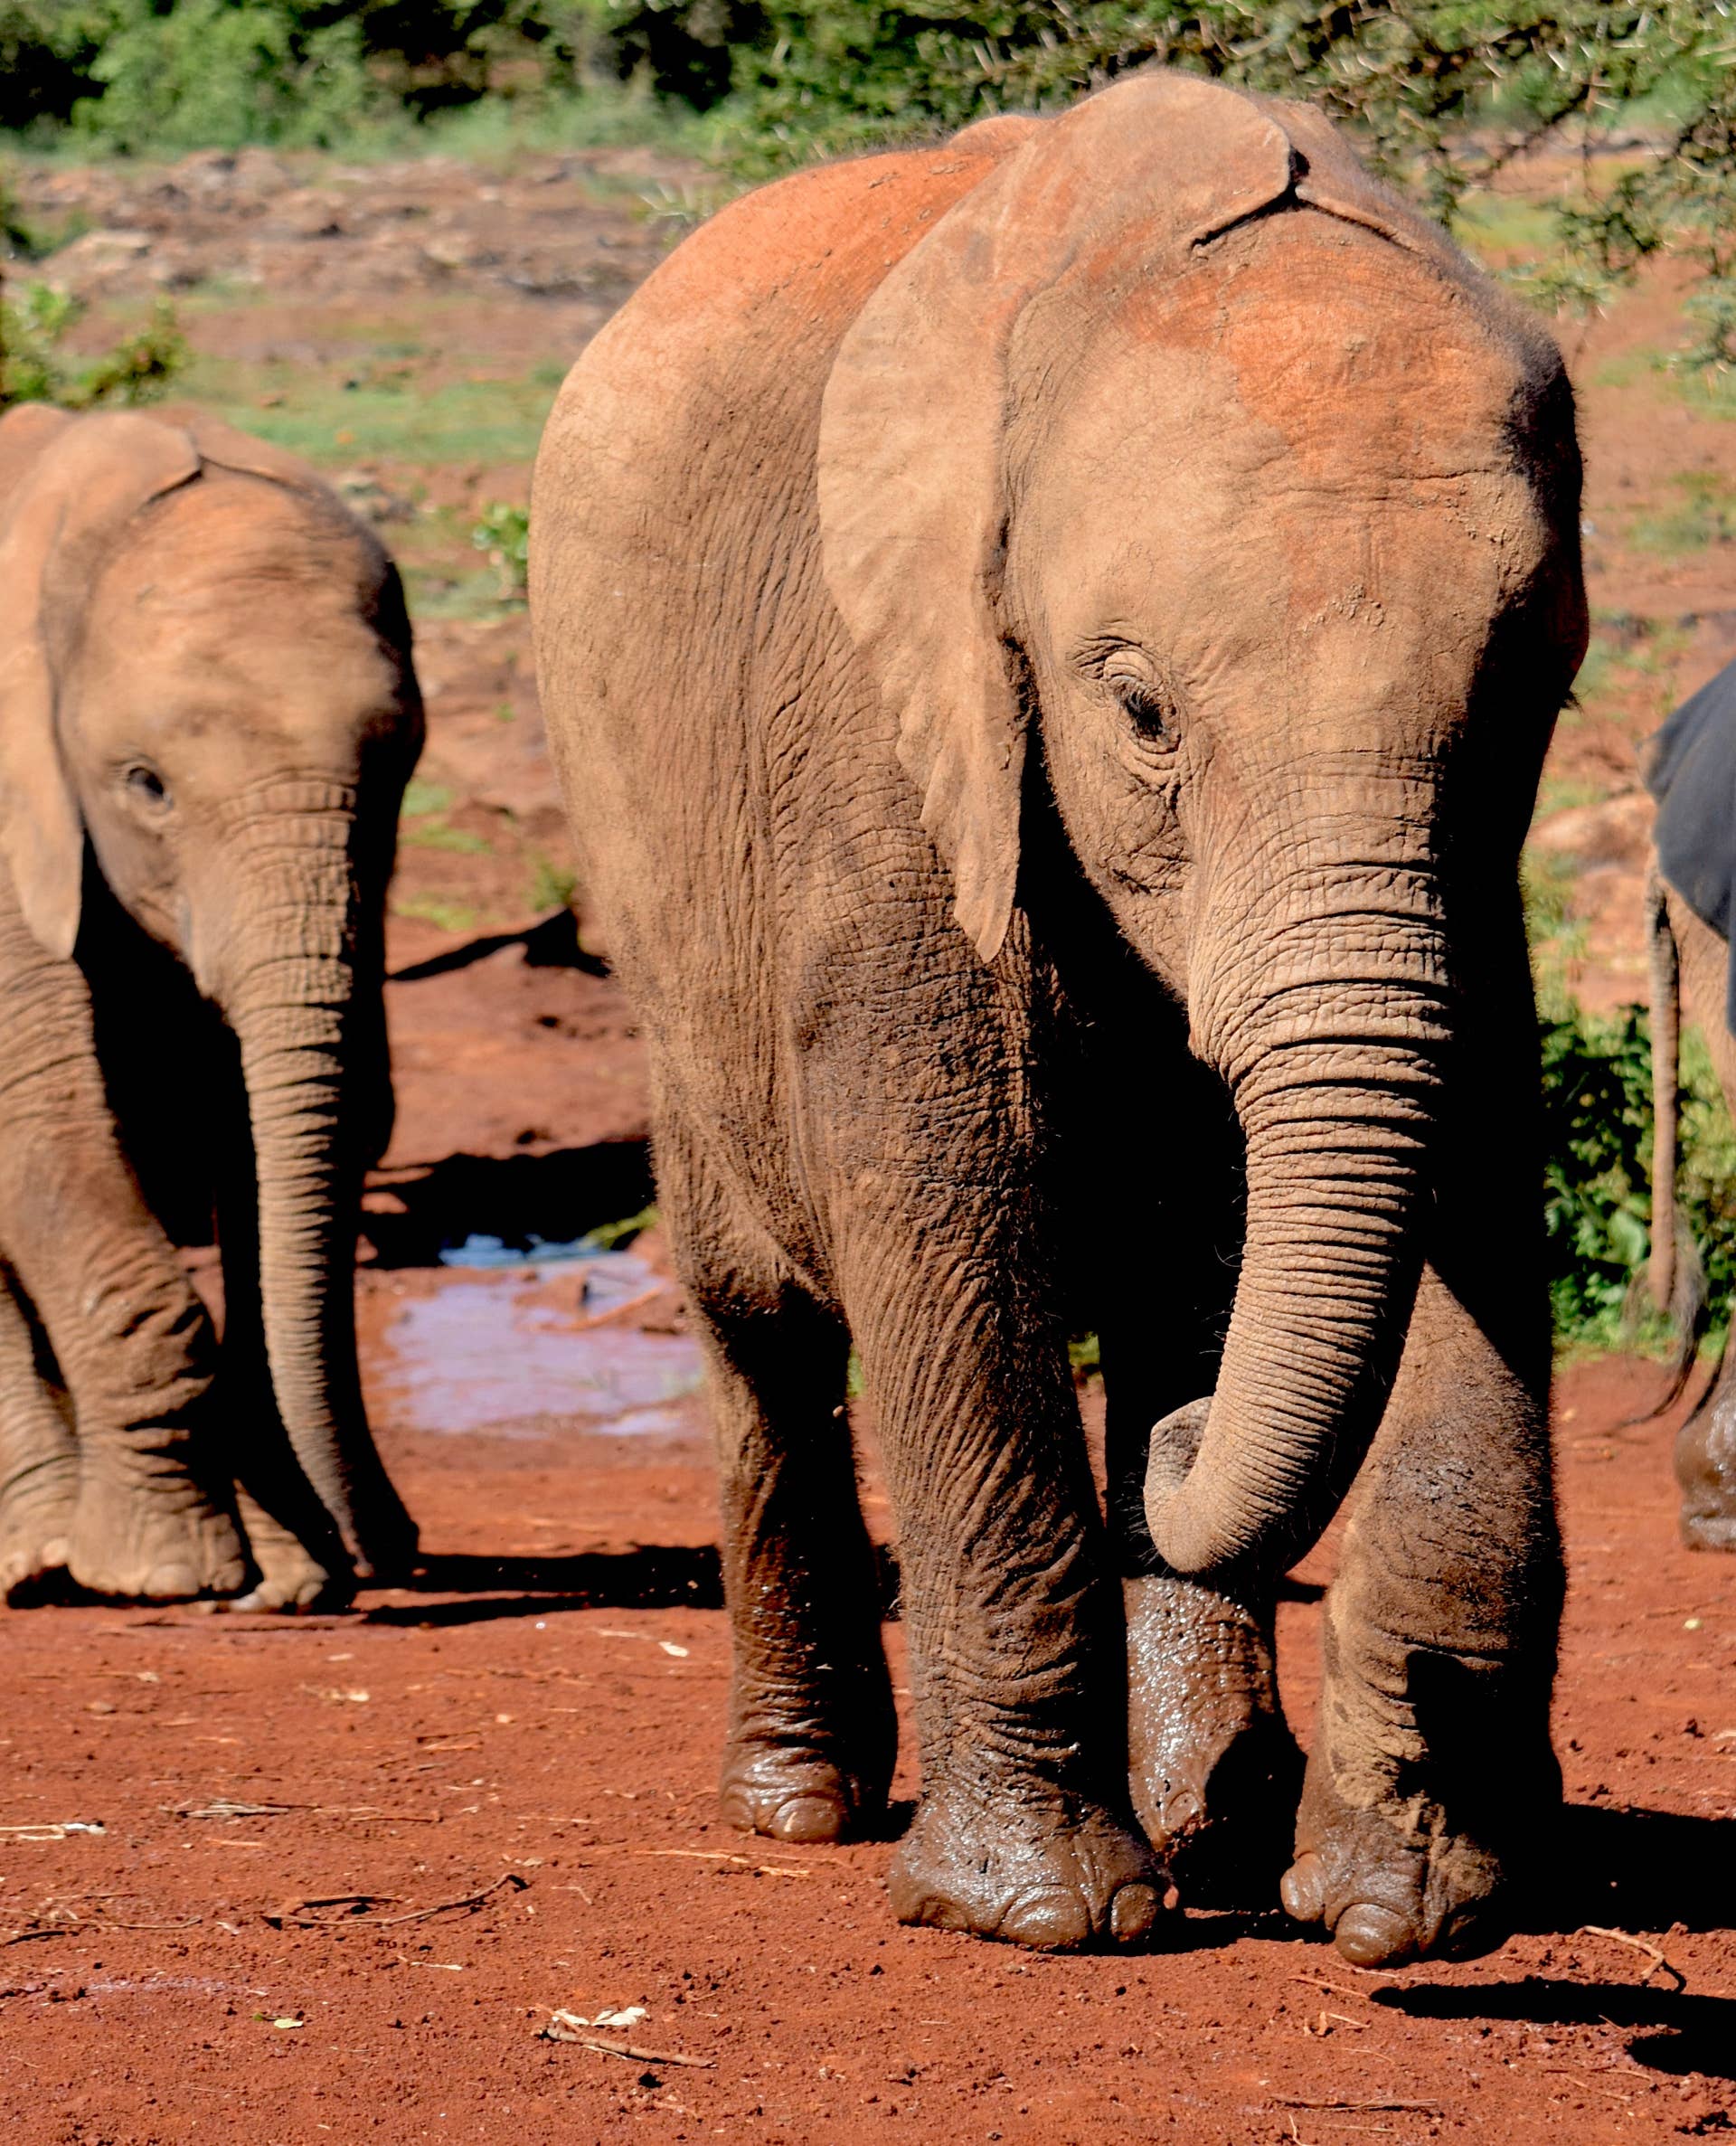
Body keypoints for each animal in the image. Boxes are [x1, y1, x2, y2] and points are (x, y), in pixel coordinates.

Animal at [0, 402, 423, 1611]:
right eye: (145, 784)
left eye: (400, 767)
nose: (390, 1554)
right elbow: (41, 1125)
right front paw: (161, 1576)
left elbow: (272, 1120)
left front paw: (285, 1579)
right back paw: (35, 1560)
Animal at [531, 71, 1588, 1964]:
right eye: (1142, 711)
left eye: (1538, 693)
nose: (1183, 1451)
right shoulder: (881, 704)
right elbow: (939, 1196)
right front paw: (1040, 1911)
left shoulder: (1470, 868)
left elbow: (1474, 1159)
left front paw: (1401, 1894)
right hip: (650, 877)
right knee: (760, 1313)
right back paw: (803, 1802)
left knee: (1175, 1283)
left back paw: (1213, 1820)